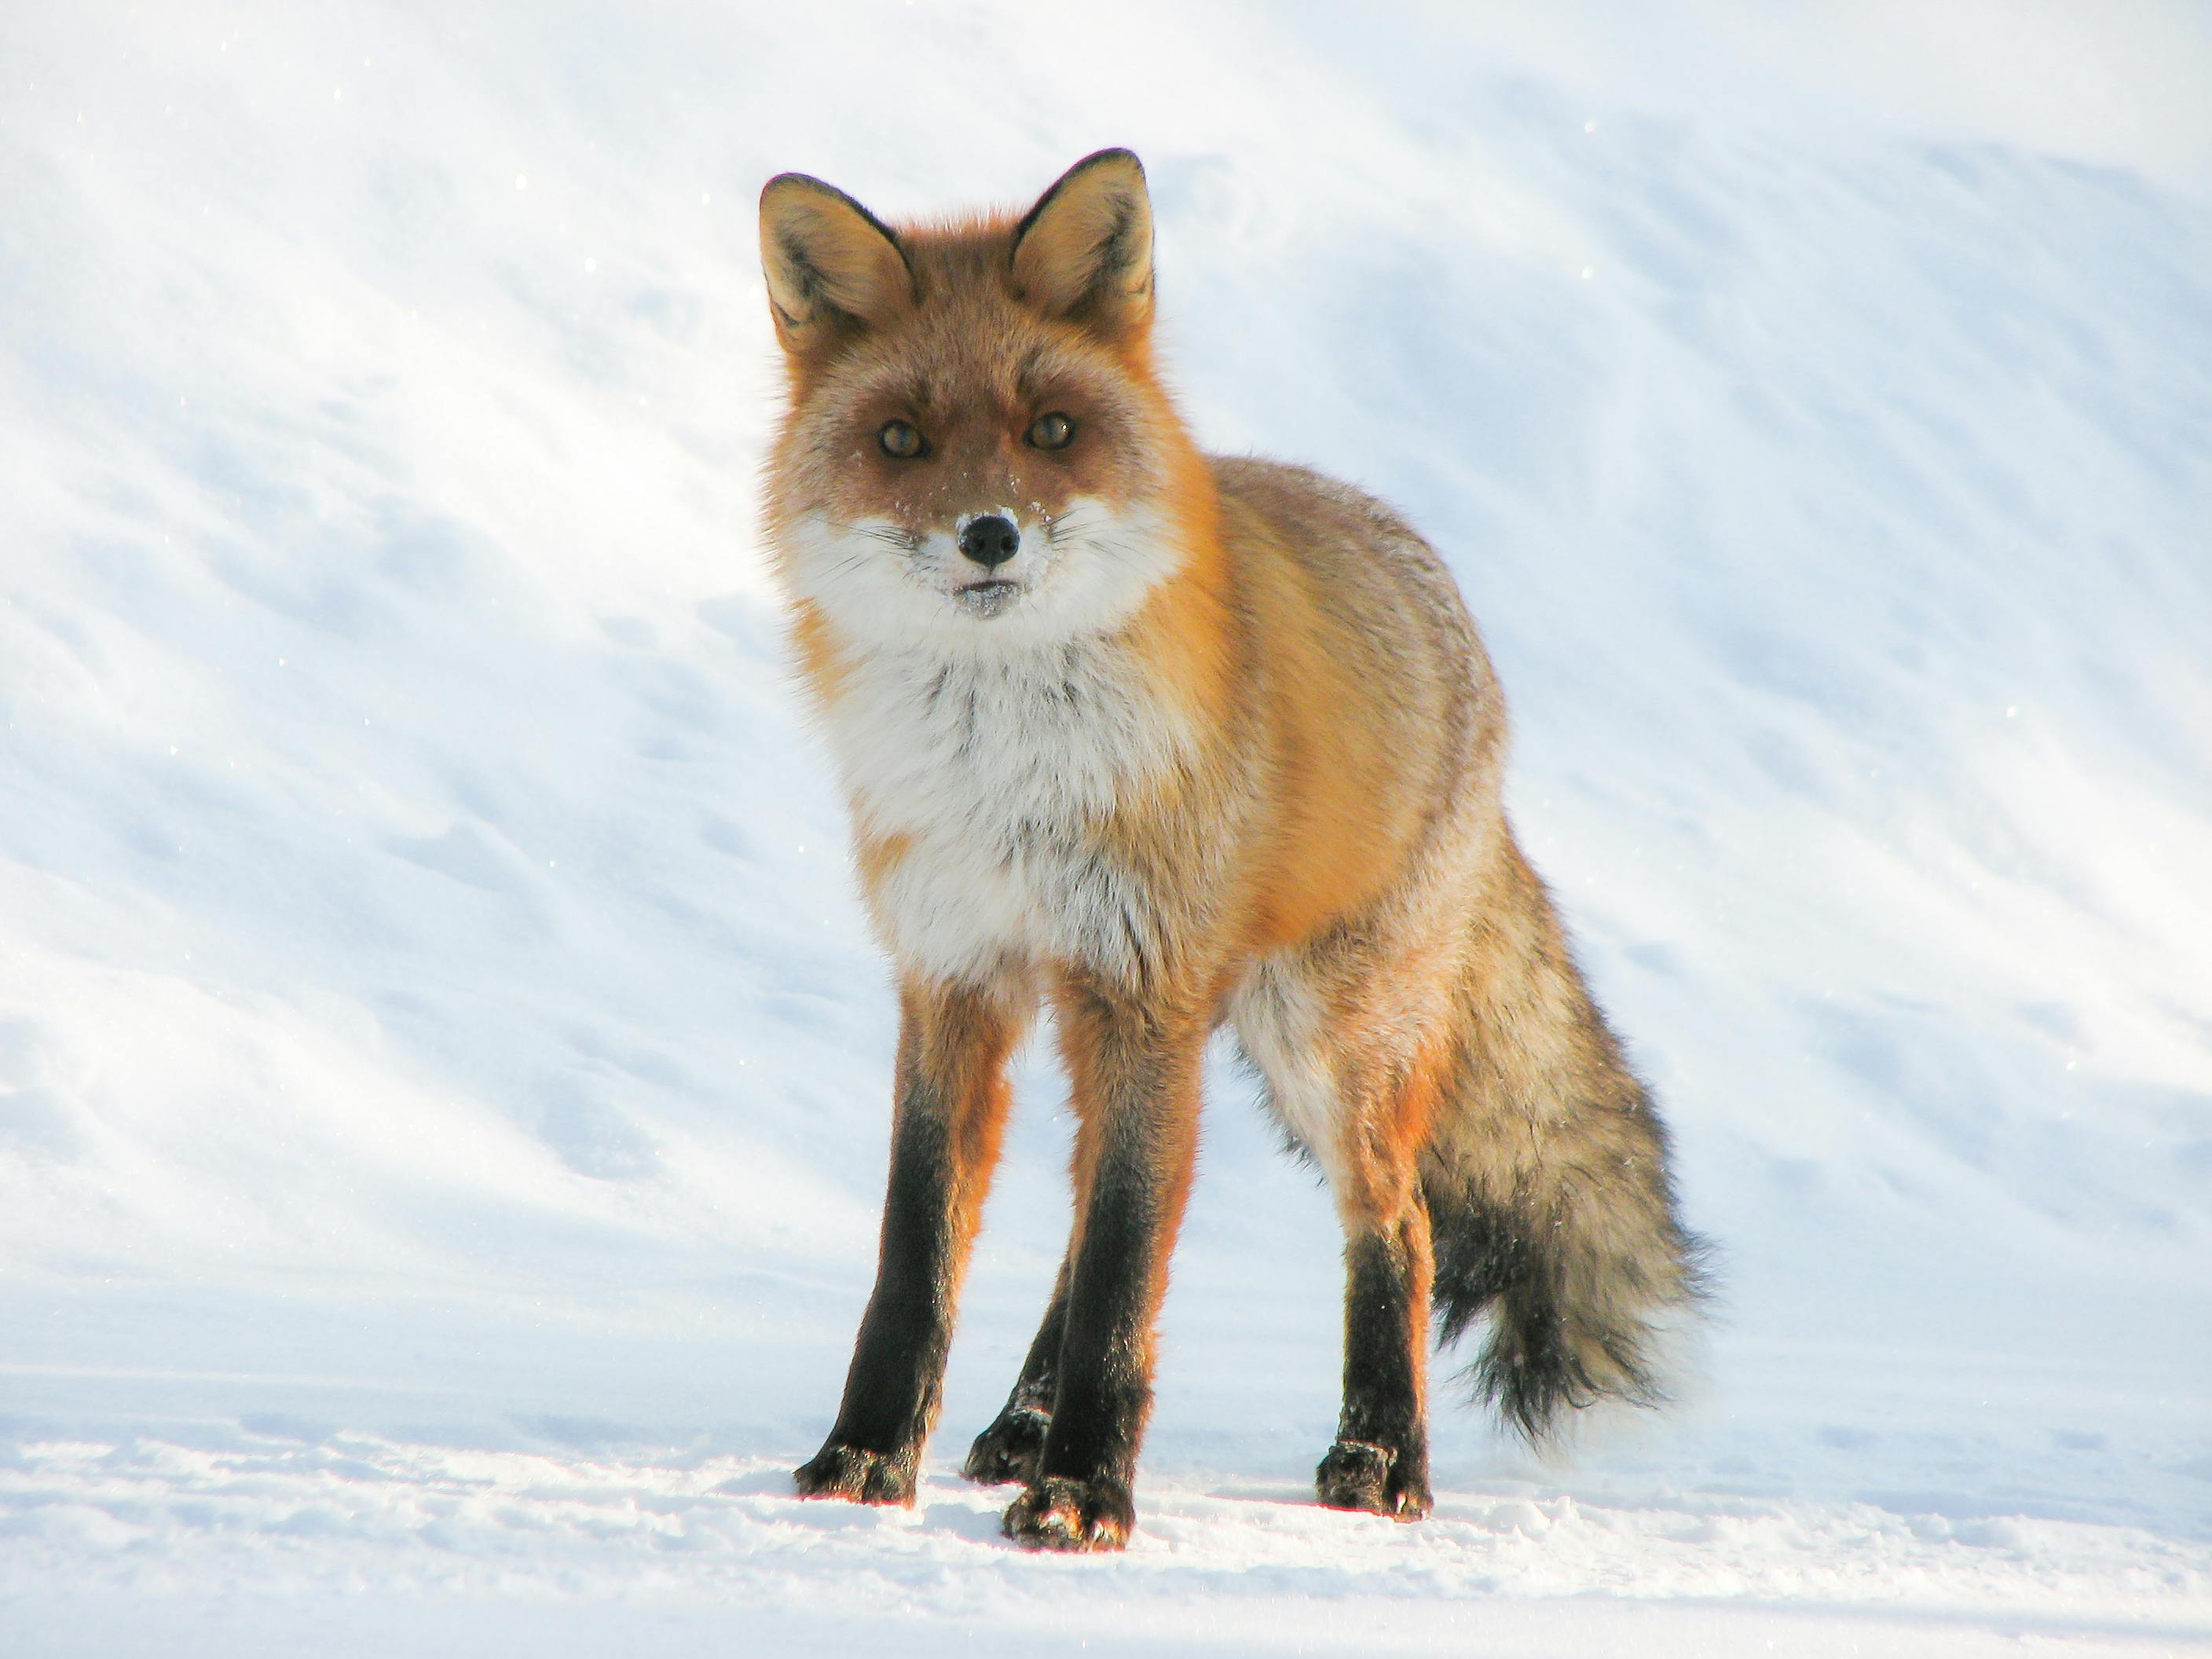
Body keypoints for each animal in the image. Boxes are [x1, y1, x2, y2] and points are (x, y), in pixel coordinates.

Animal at [757, 148, 1707, 1552]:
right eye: (900, 442)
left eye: (1052, 432)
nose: (990, 534)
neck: (1007, 777)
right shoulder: (954, 979)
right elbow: (919, 1262)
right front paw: (865, 1459)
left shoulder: (1138, 986)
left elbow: (1123, 1275)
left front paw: (1087, 1495)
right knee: (1092, 1218)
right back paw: (1024, 1424)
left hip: (1324, 1038)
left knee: (1399, 1223)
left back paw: (1381, 1457)